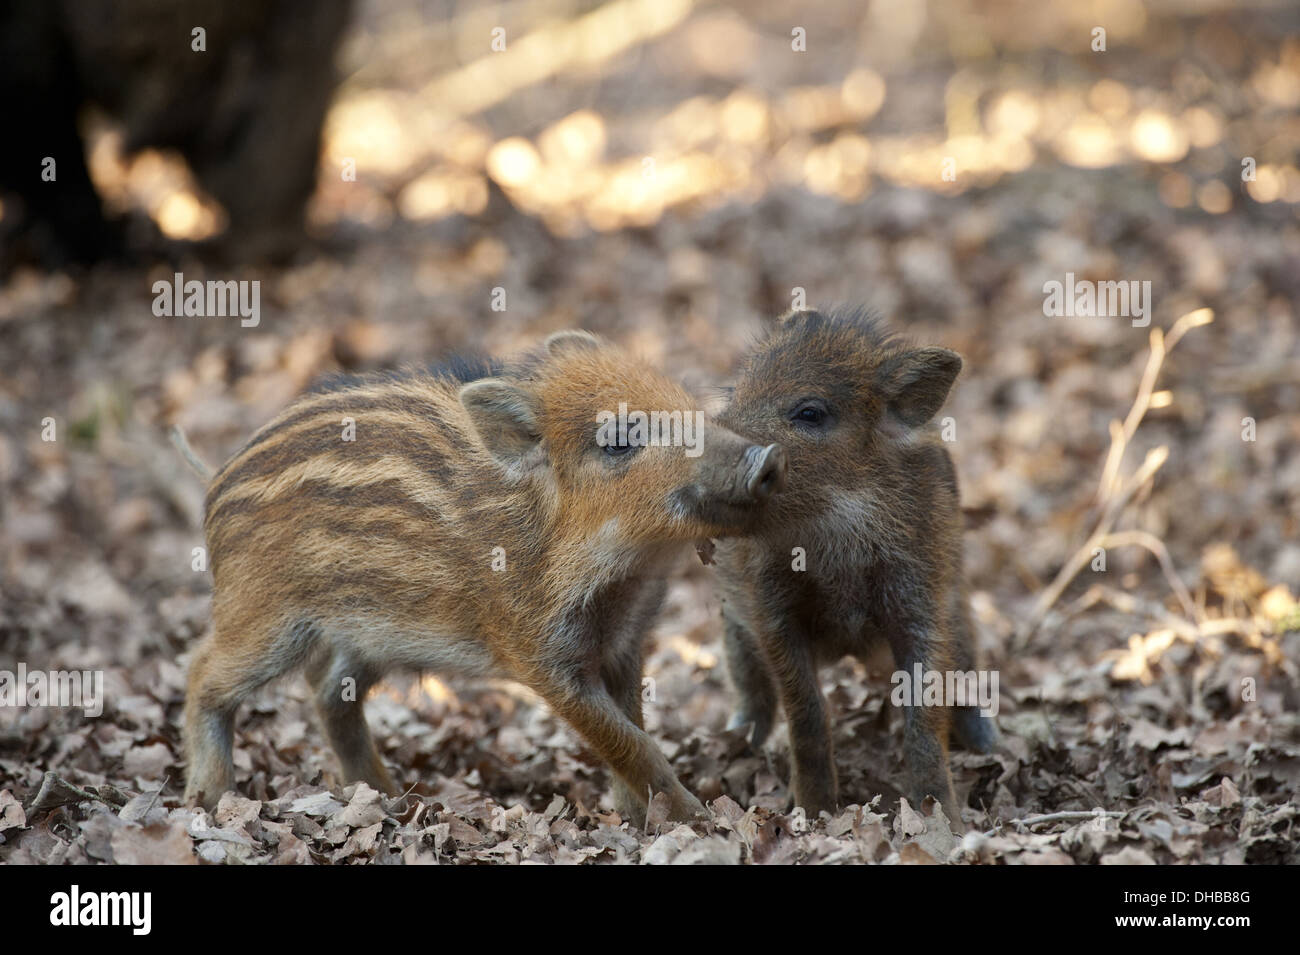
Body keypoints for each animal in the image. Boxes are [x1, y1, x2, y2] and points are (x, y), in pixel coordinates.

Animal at [181, 331, 786, 823]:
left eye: (683, 400)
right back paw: (209, 797)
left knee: (330, 693)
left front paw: (640, 821)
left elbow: (632, 730)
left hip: (365, 635)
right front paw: (697, 821)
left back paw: (386, 796)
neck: (623, 567)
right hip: (265, 615)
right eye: (618, 440)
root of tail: (214, 483)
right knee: (203, 671)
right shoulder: (540, 654)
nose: (764, 459)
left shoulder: (624, 643)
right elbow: (630, 744)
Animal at [712, 307, 997, 830]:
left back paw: (991, 745)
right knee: (750, 690)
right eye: (738, 391)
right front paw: (812, 812)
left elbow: (926, 712)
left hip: (958, 602)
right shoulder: (770, 612)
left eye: (810, 413)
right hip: (734, 625)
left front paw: (941, 819)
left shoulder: (920, 600)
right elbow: (806, 711)